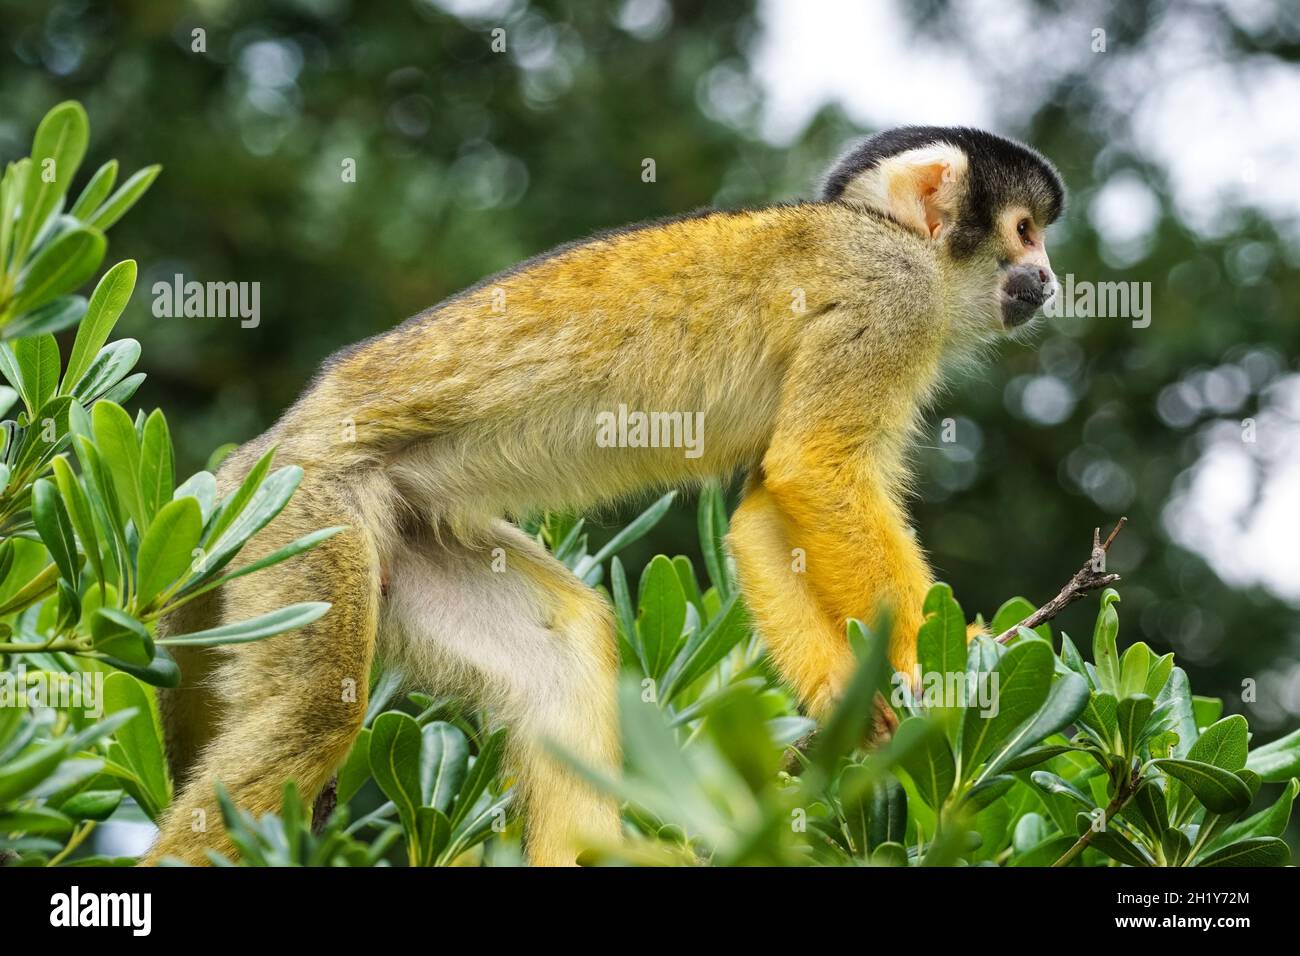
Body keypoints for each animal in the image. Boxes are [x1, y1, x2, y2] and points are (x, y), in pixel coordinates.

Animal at [148, 126, 1063, 866]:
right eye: (1026, 233)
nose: (1049, 281)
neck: (887, 234)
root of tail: (260, 453)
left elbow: (769, 505)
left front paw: (847, 699)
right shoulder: (891, 292)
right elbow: (816, 468)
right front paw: (942, 662)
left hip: (392, 530)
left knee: (565, 649)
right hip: (307, 508)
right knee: (313, 711)